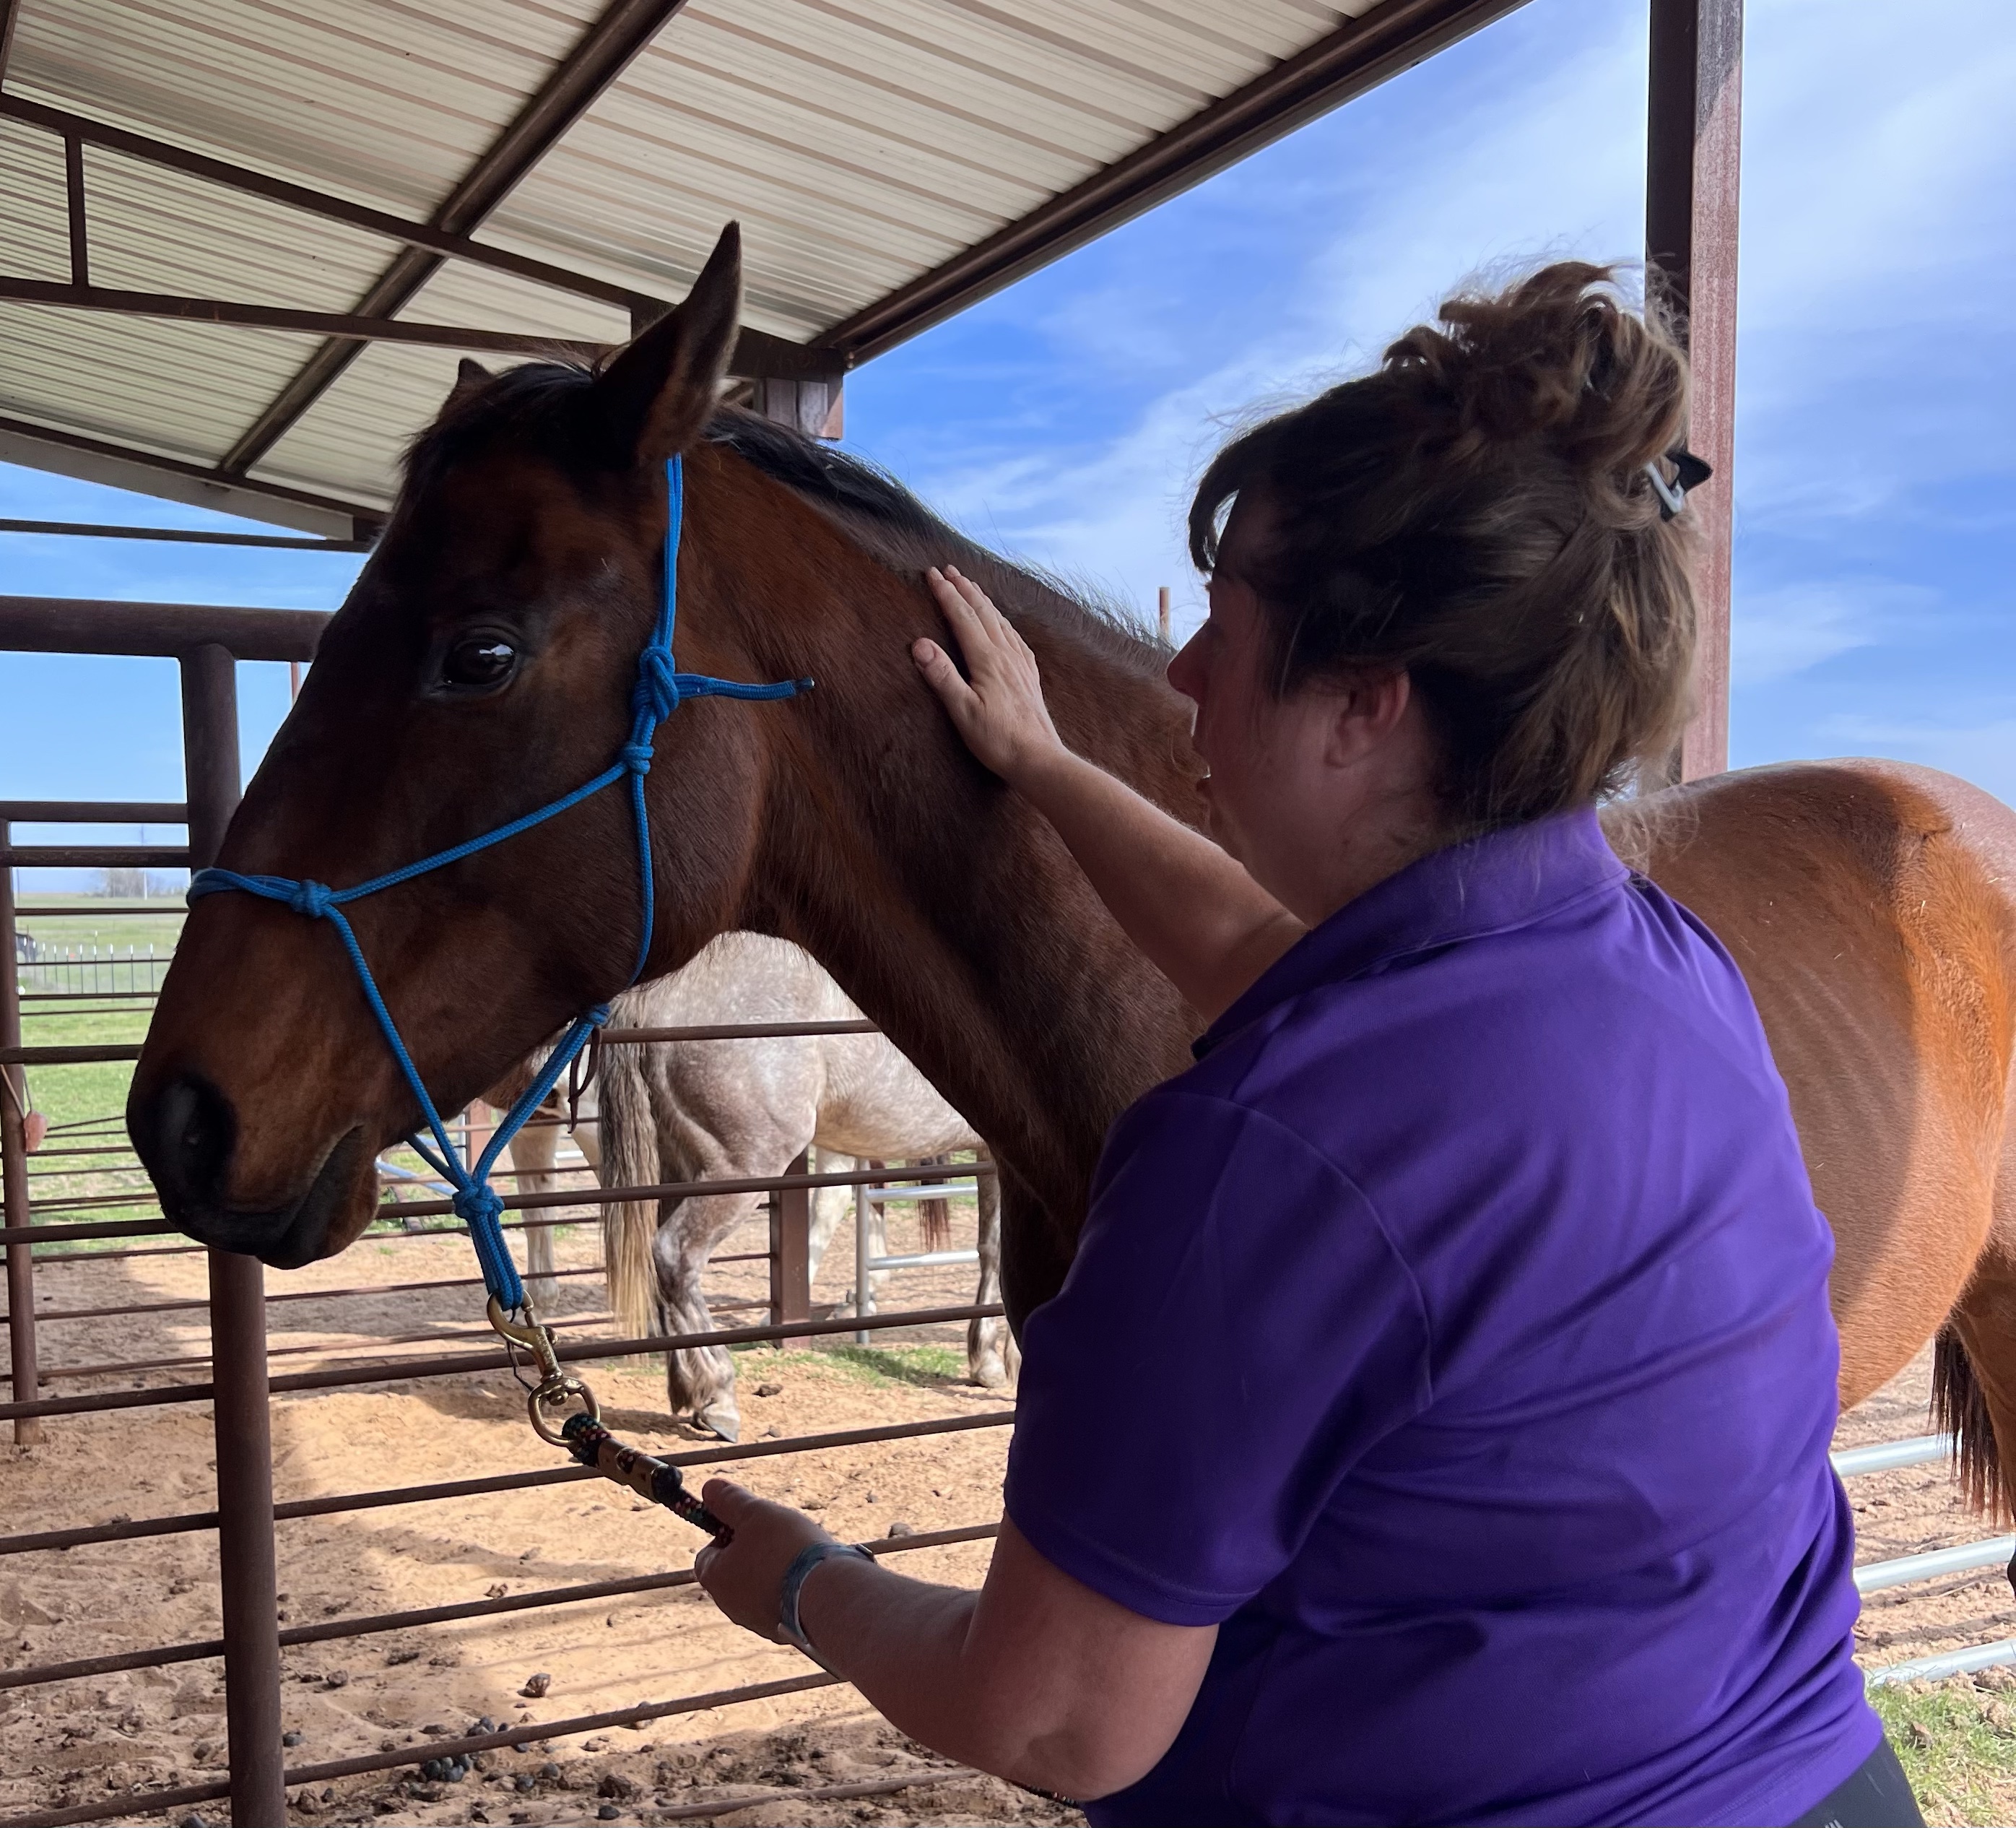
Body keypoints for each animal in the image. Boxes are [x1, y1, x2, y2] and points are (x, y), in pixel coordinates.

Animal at [486, 931, 1012, 1440]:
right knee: (674, 1256)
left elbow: (991, 1249)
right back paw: (717, 1394)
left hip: (674, 1164)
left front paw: (989, 1356)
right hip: (739, 1167)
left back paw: (686, 1385)